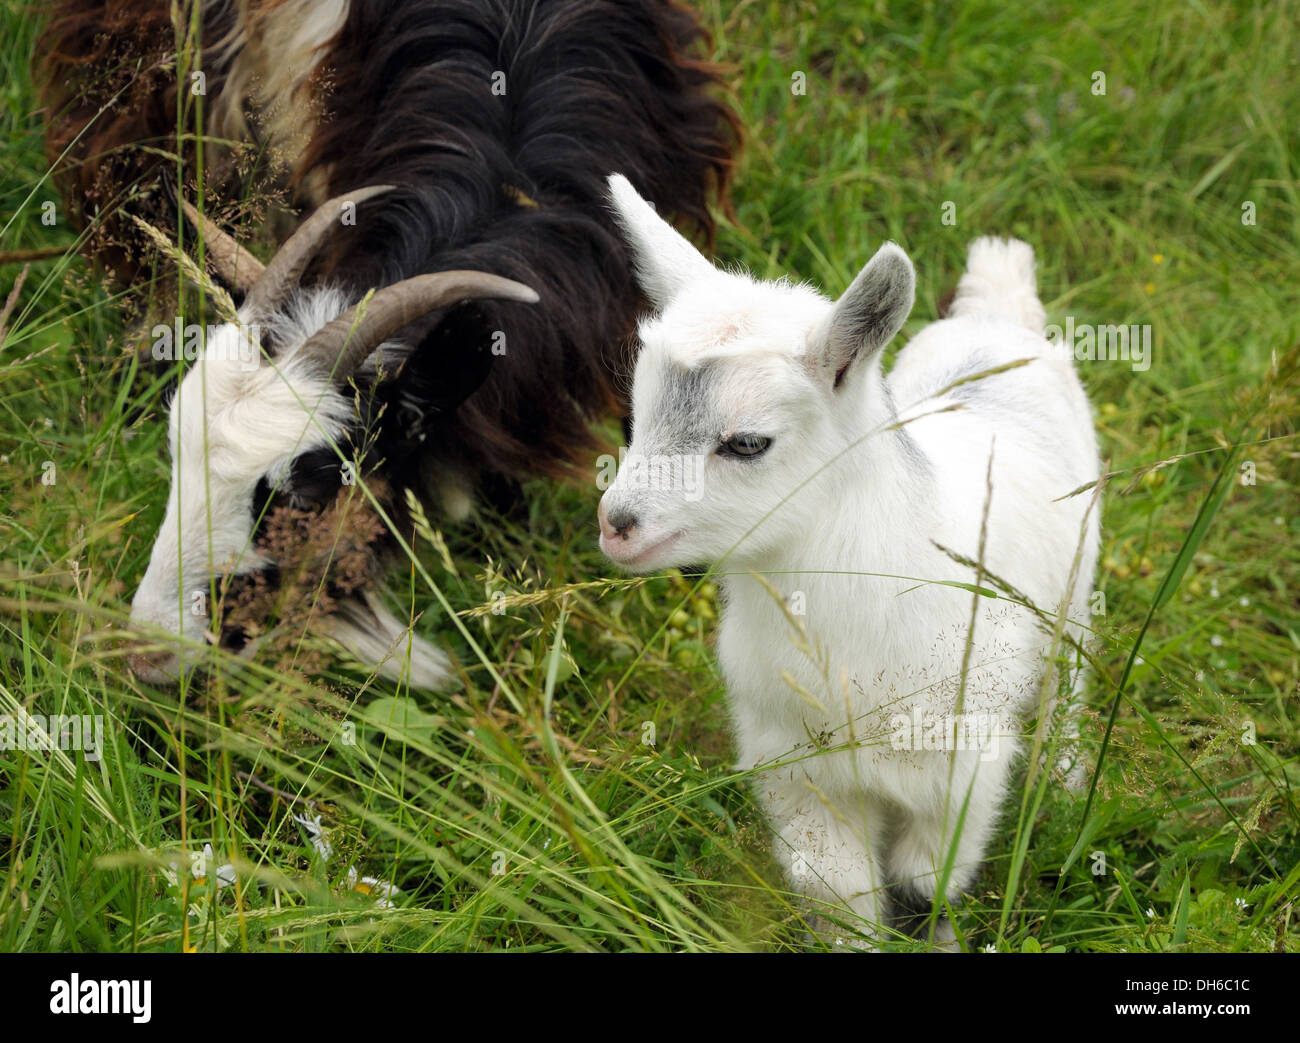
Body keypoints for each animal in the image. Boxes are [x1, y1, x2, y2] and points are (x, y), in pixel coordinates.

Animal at [598, 174, 1101, 945]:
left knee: (1069, 675)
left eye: (747, 442)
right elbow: (841, 898)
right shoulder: (796, 771)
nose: (617, 524)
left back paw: (1066, 779)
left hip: (1077, 578)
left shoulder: (962, 767)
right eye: (634, 415)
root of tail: (996, 315)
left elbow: (926, 887)